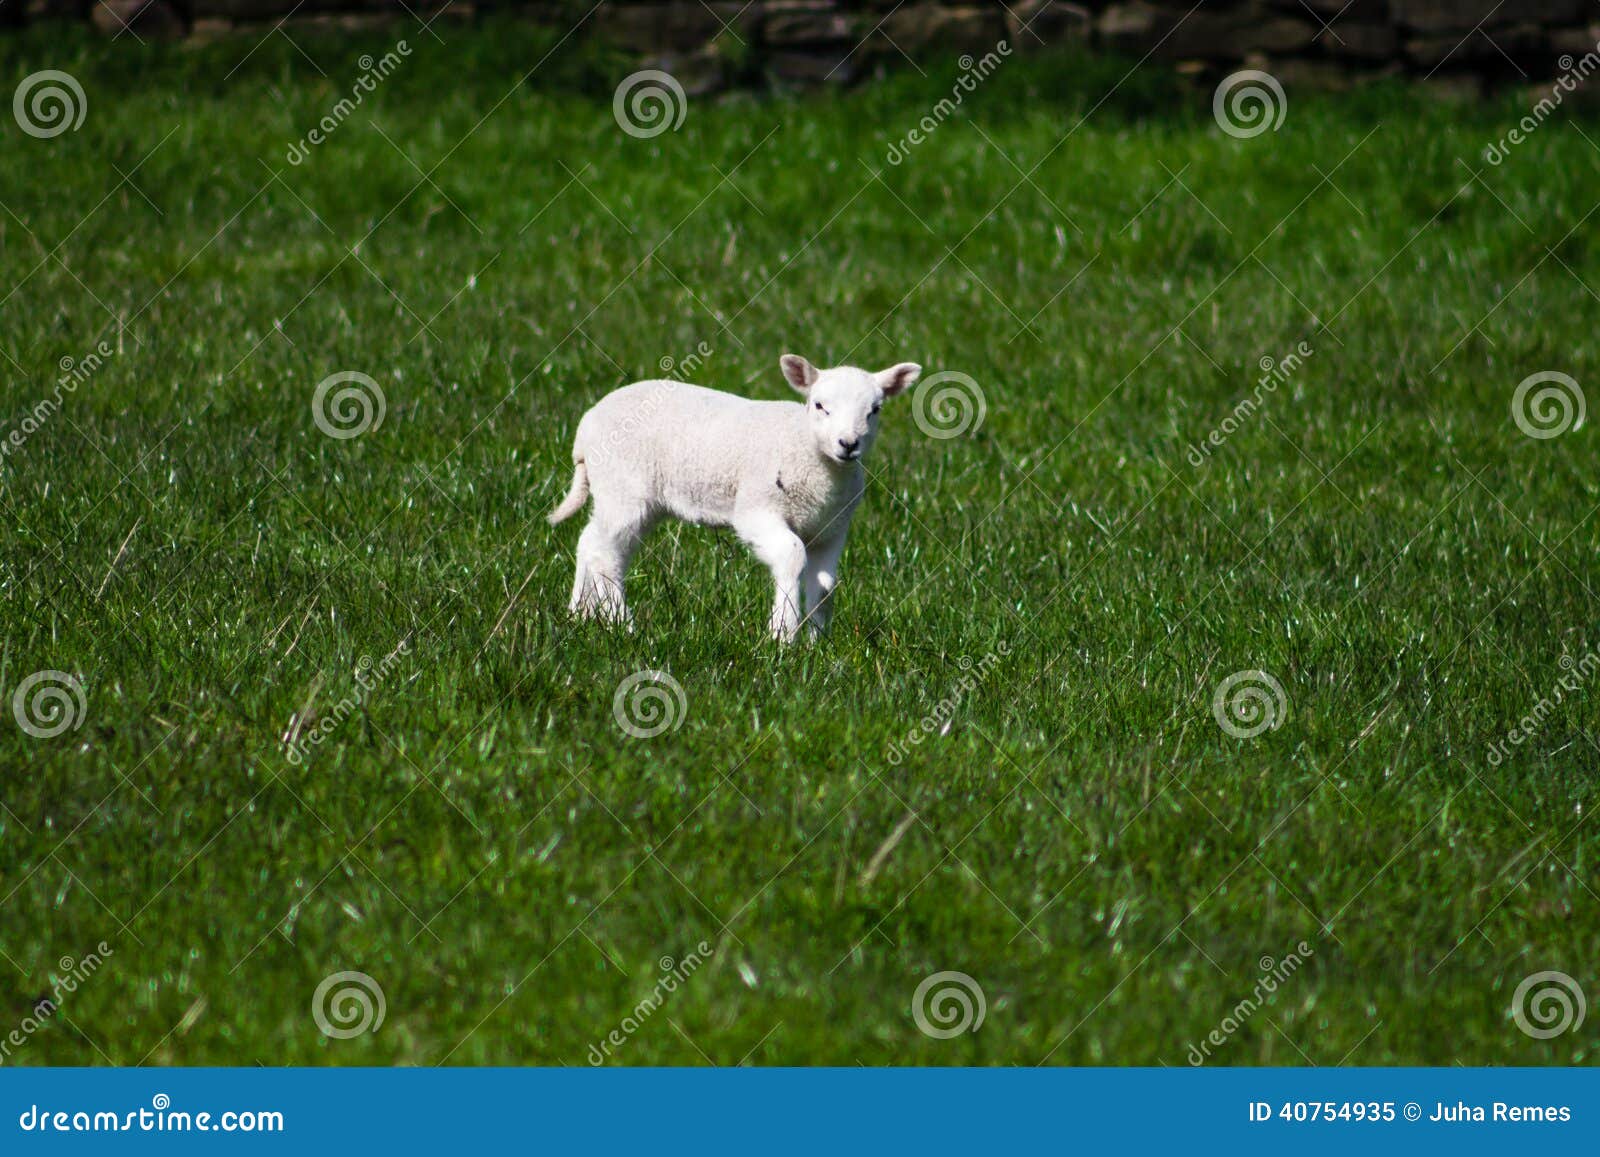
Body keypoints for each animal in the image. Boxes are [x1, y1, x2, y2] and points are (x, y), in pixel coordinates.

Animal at [548, 354, 922, 641]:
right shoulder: (757, 508)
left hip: (627, 495)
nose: (848, 444)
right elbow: (792, 555)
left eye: (875, 410)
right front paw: (783, 636)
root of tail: (584, 430)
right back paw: (623, 625)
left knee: (591, 540)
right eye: (819, 406)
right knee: (605, 553)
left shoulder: (832, 528)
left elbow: (825, 584)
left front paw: (818, 644)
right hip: (624, 487)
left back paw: (580, 614)